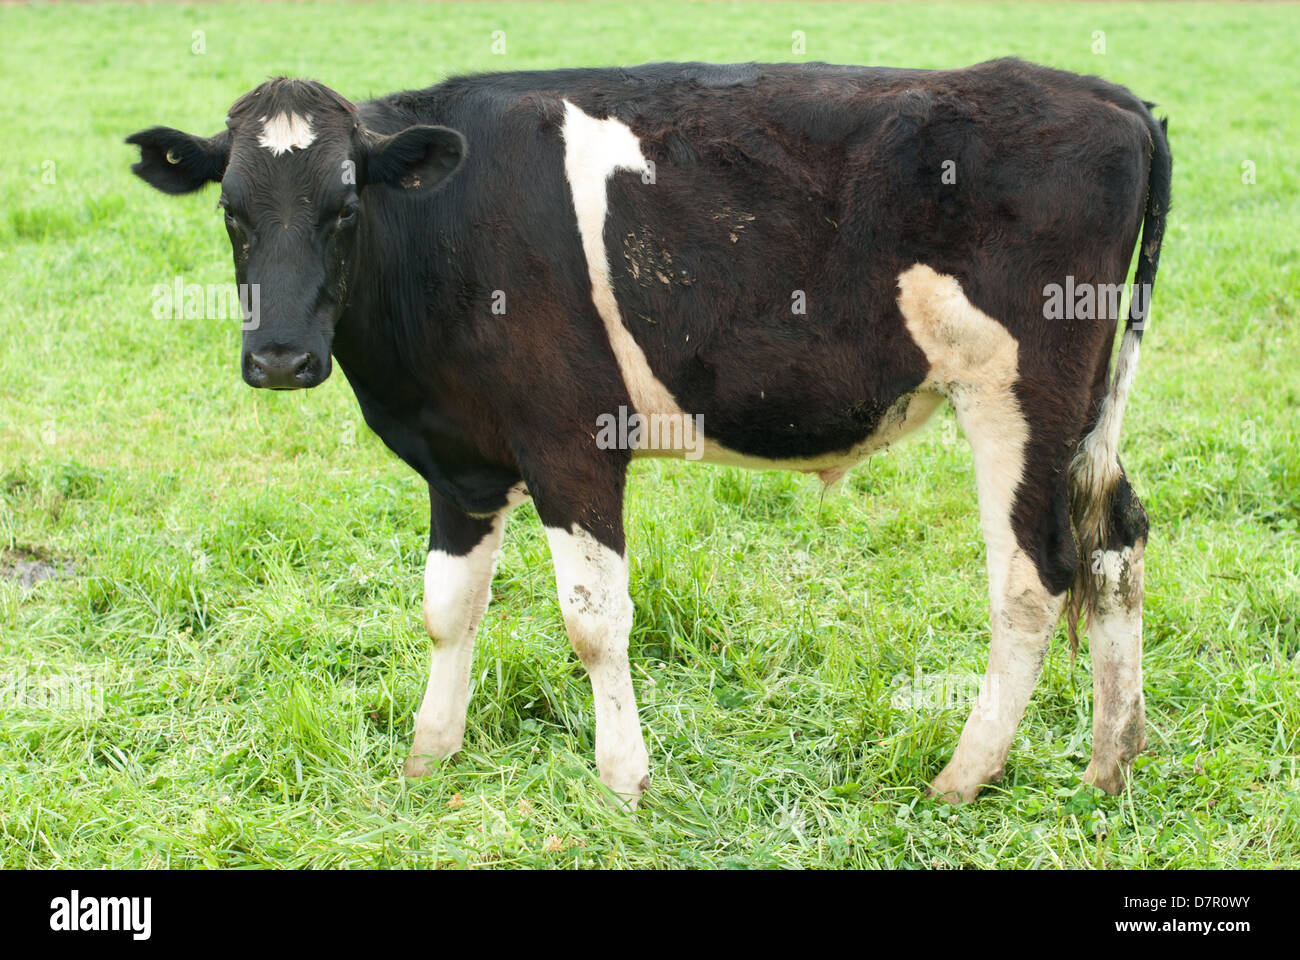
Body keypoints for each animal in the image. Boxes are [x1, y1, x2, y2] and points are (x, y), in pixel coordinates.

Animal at [127, 58, 1171, 807]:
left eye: (345, 206)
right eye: (233, 213)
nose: (280, 357)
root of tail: (1103, 94)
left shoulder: (572, 441)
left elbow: (594, 620)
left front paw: (623, 780)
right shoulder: (460, 463)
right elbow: (447, 608)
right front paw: (430, 757)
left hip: (1018, 394)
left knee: (1034, 579)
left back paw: (963, 775)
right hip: (1086, 414)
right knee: (1116, 541)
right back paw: (1108, 766)